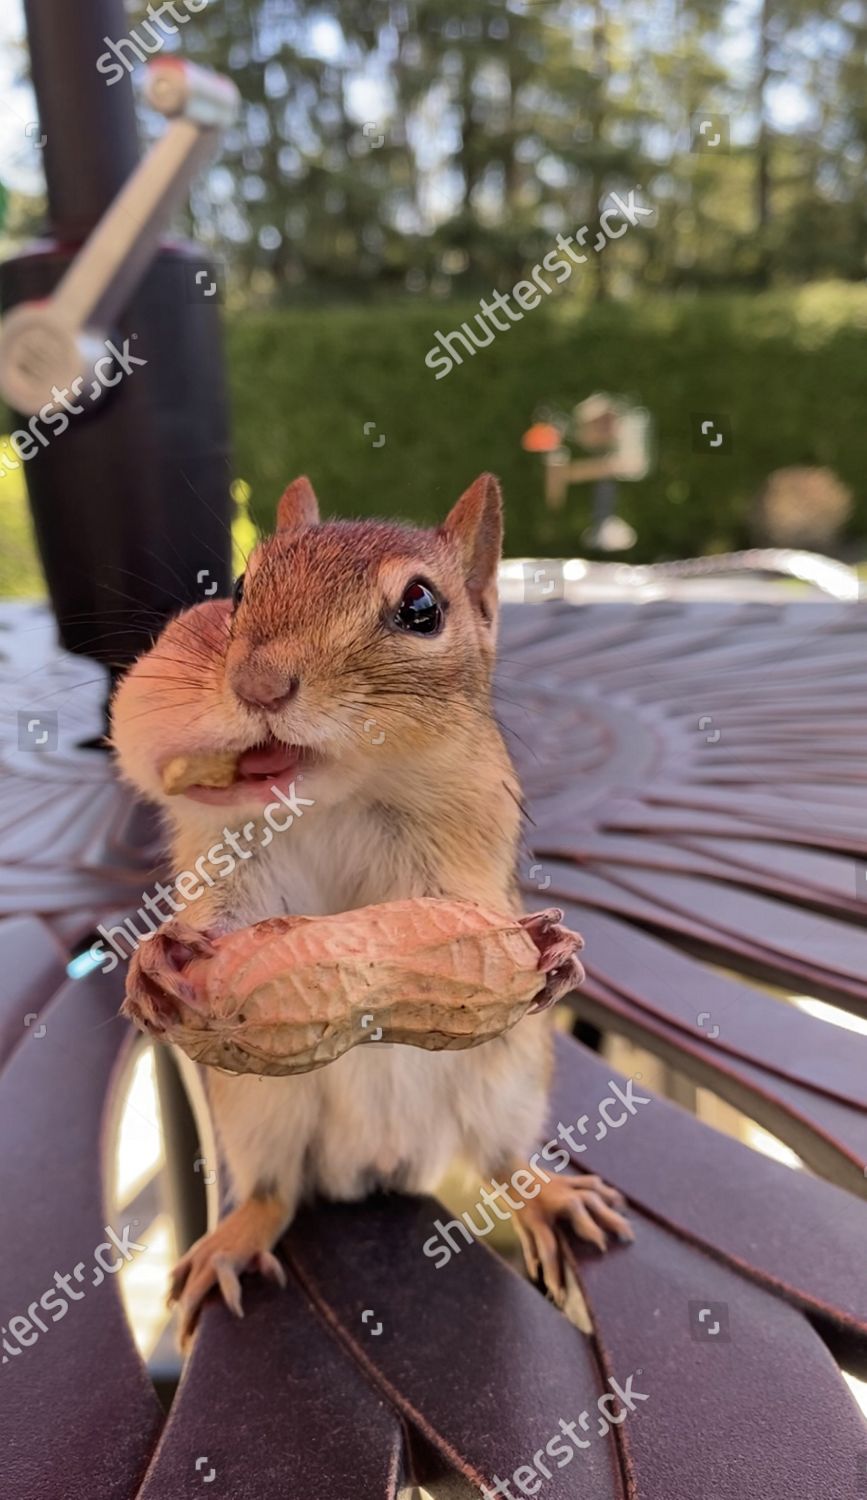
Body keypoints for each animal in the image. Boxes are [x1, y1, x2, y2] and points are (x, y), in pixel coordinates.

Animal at [111, 473, 631, 1344]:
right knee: (274, 1192)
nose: (256, 685)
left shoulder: (462, 849)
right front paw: (157, 958)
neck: (340, 793)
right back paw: (233, 1240)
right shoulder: (237, 860)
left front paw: (553, 953)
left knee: (499, 1164)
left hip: (506, 1083)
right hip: (260, 1109)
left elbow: (458, 927)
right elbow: (228, 915)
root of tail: (381, 1163)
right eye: (243, 585)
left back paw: (549, 1195)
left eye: (422, 607)